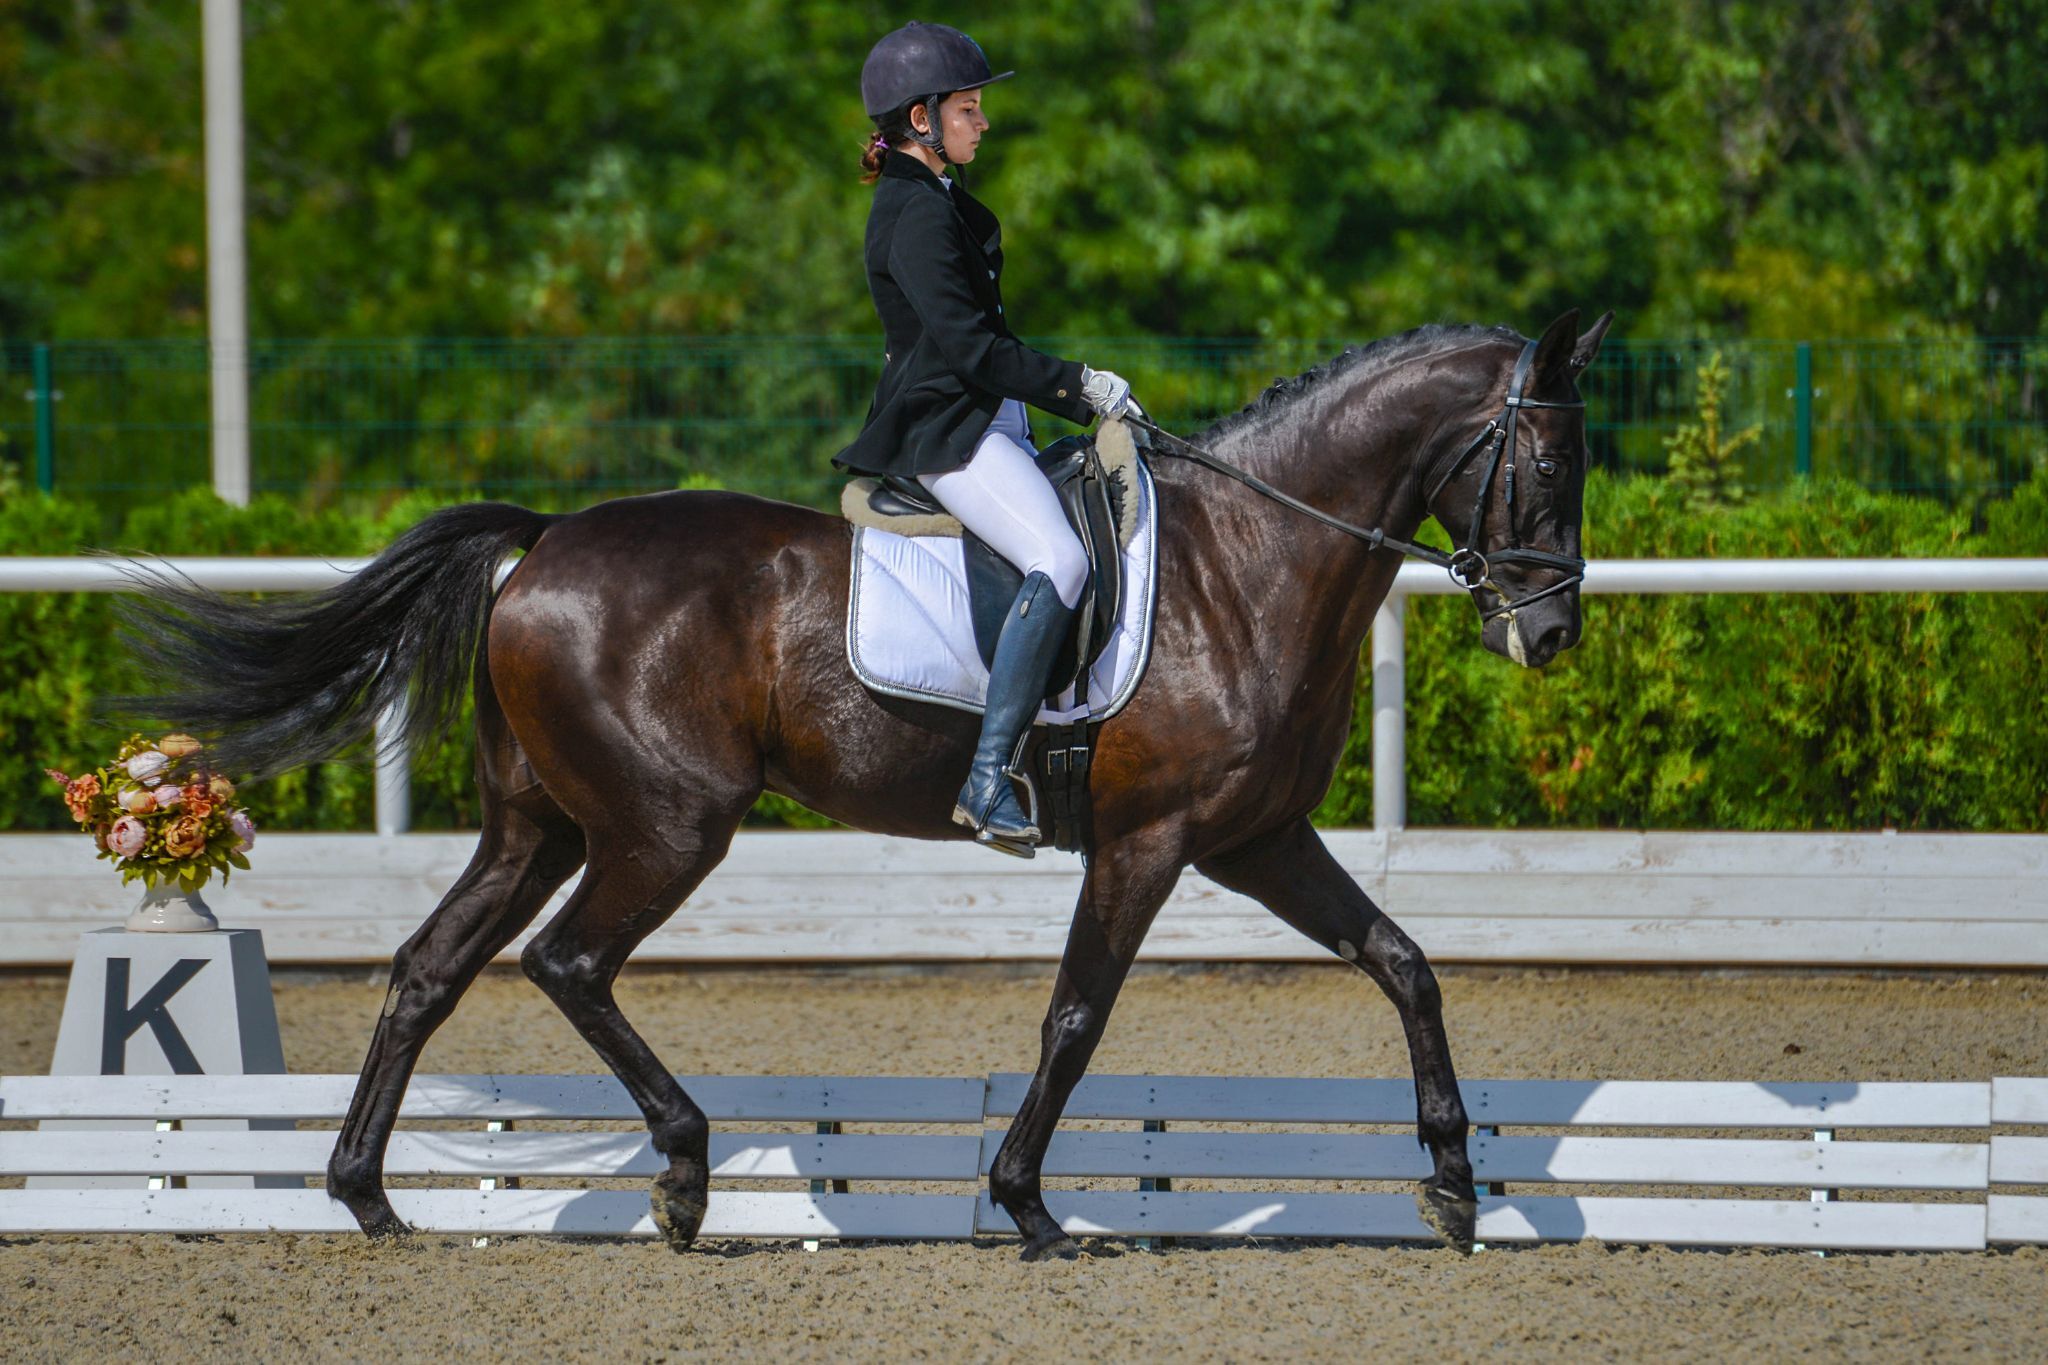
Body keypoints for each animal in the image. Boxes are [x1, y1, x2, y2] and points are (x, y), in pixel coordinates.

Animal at [116, 308, 1612, 1259]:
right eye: (1550, 460)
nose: (1547, 635)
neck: (1250, 560)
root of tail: (545, 541)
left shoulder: (1259, 838)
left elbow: (1405, 963)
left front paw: (1458, 1186)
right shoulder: (1149, 841)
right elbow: (1076, 1017)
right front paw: (1027, 1208)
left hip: (535, 823)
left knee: (432, 968)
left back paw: (368, 1197)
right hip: (665, 825)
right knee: (569, 964)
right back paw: (681, 1176)